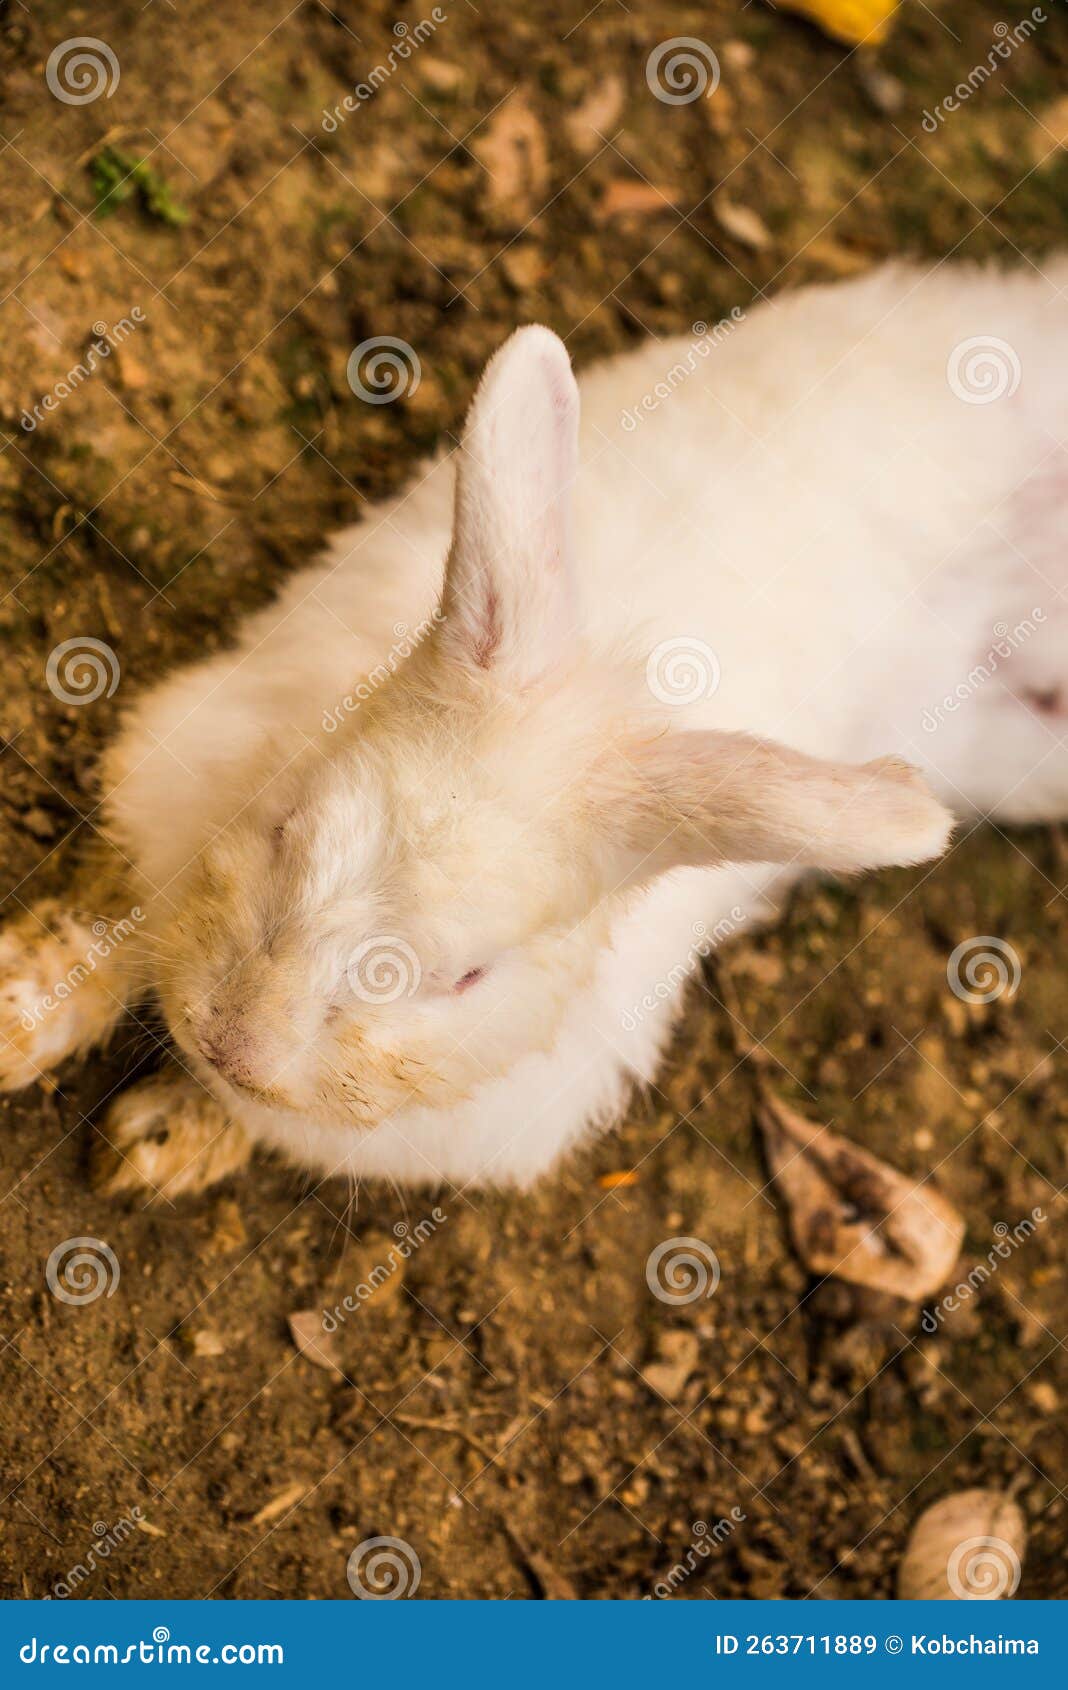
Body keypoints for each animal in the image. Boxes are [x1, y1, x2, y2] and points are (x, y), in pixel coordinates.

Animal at [3, 259, 1066, 1200]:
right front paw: (19, 1020)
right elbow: (102, 930)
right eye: (286, 825)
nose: (236, 1043)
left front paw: (160, 1143)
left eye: (466, 978)